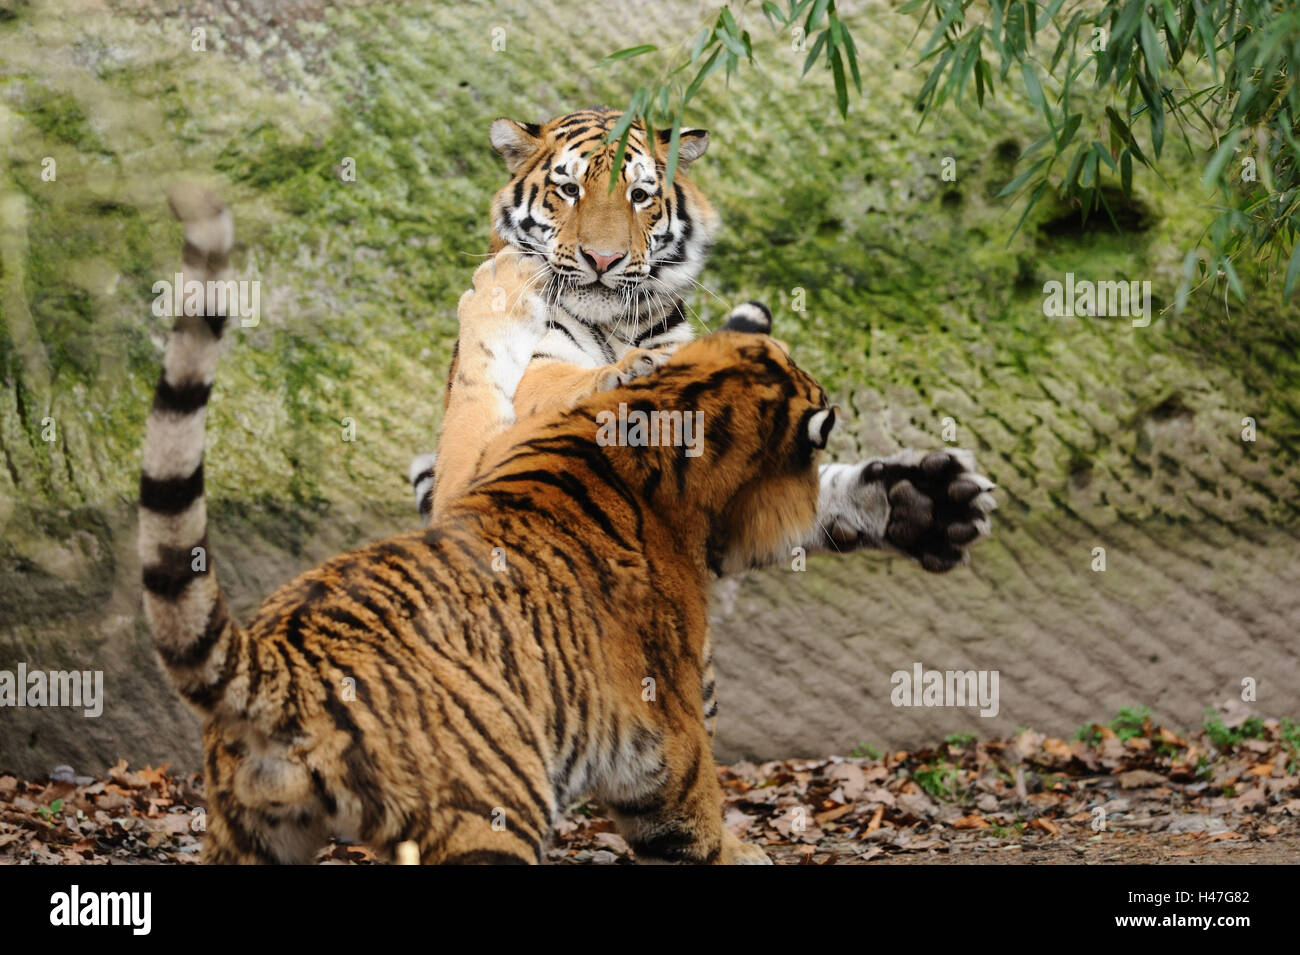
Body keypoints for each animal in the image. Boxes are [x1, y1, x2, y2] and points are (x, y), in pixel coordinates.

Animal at [140, 184, 842, 864]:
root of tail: (279, 664)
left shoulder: (464, 476)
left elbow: (479, 387)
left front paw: (501, 285)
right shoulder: (666, 739)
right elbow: (695, 824)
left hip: (249, 831)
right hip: (488, 811)